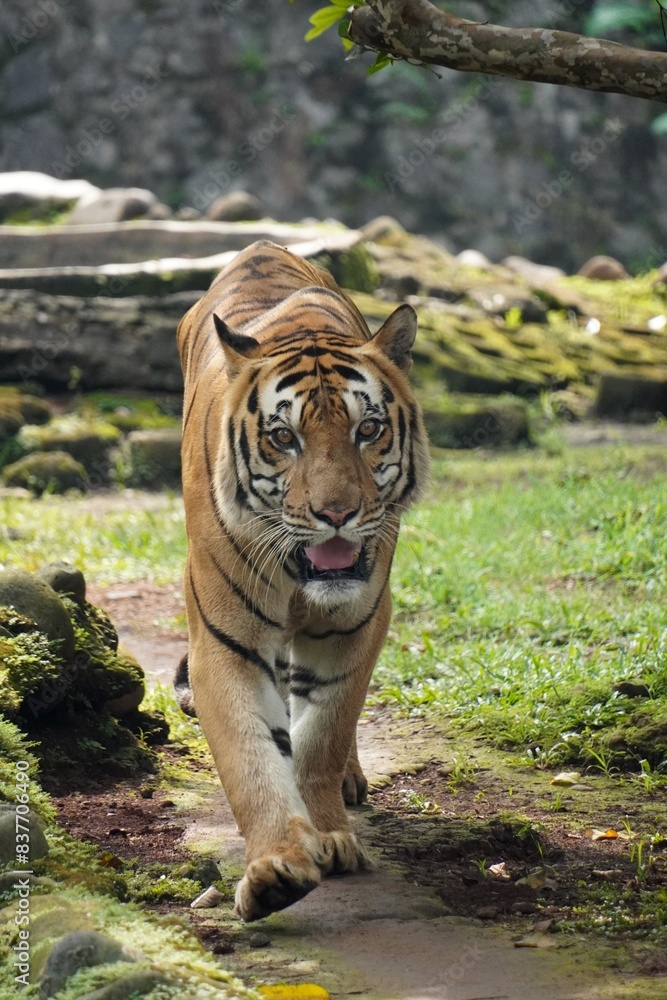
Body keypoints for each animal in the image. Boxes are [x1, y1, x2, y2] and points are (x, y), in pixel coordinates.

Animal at [176, 240, 429, 921]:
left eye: (367, 429)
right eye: (283, 438)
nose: (336, 513)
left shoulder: (357, 623)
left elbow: (323, 735)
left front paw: (331, 835)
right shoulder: (226, 643)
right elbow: (252, 754)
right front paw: (277, 866)